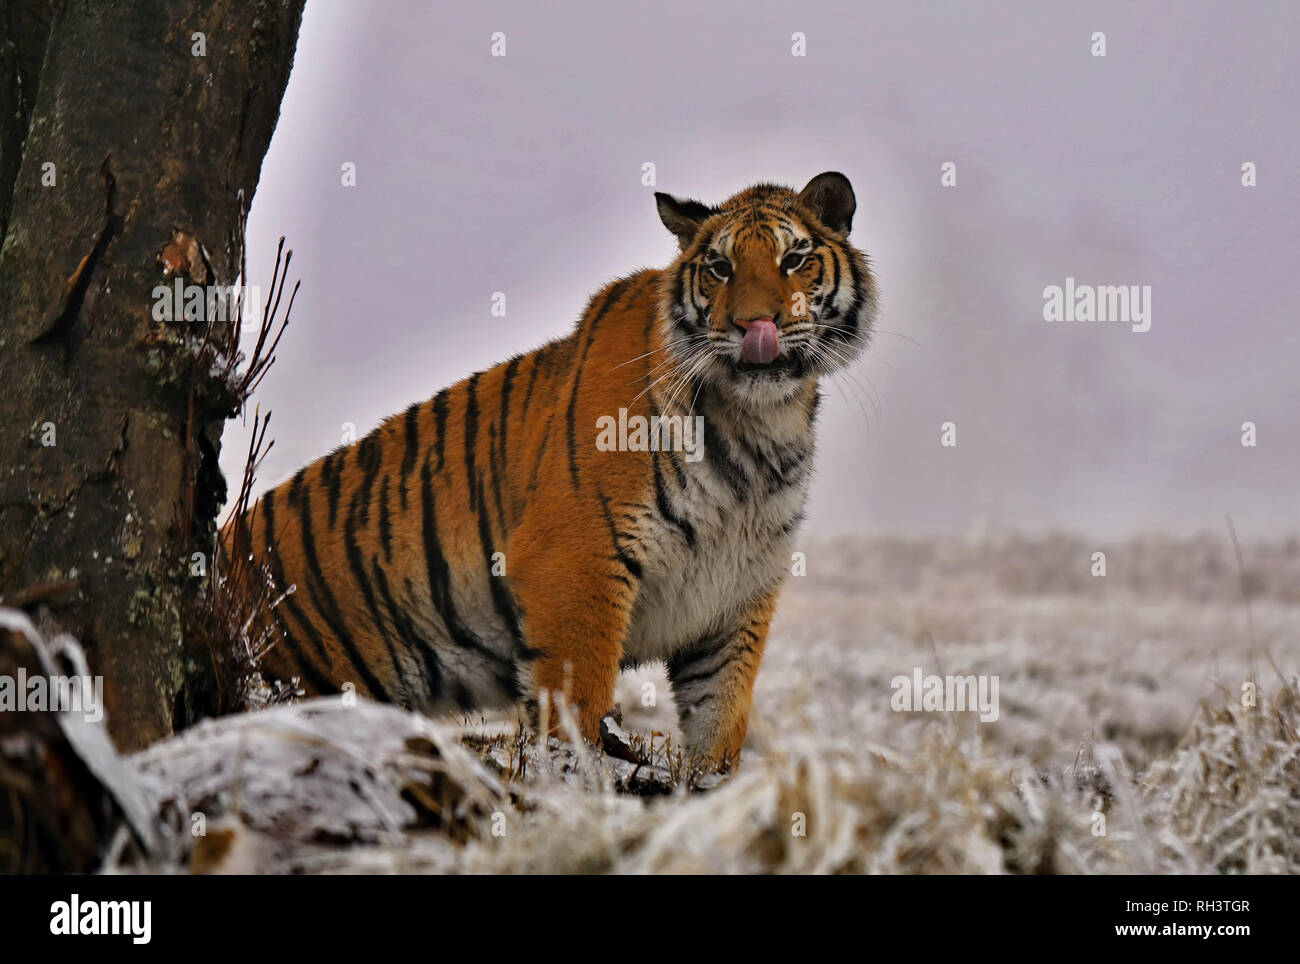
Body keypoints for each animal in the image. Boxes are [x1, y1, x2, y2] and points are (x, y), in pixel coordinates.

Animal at [223, 171, 877, 768]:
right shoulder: (575, 559)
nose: (752, 326)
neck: (760, 427)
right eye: (719, 267)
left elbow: (721, 721)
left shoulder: (736, 596)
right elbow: (577, 703)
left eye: (794, 259)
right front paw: (578, 784)